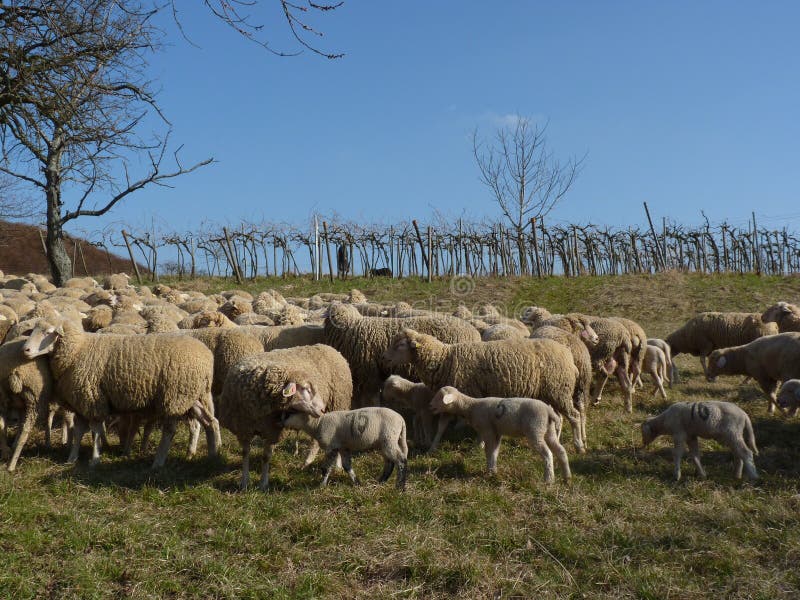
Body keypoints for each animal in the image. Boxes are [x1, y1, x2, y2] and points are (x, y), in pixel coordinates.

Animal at [21, 320, 220, 468]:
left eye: (49, 332)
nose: (25, 350)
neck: (77, 350)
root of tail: (207, 357)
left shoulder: (92, 399)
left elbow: (95, 431)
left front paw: (94, 459)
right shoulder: (81, 402)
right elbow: (78, 432)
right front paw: (71, 458)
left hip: (175, 395)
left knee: (170, 430)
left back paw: (158, 462)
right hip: (191, 395)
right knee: (210, 421)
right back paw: (212, 455)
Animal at [217, 344, 353, 491]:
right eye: (306, 388)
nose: (322, 409)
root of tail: (330, 348)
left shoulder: (272, 430)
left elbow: (266, 456)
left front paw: (263, 484)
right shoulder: (244, 428)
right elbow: (245, 453)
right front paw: (244, 482)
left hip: (338, 403)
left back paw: (335, 465)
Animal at [382, 328, 585, 452]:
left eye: (400, 345)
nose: (384, 357)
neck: (445, 359)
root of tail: (570, 359)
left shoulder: (471, 394)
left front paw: (479, 445)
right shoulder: (450, 397)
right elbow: (441, 426)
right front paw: (432, 447)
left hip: (559, 389)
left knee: (574, 417)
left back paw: (579, 445)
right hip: (553, 393)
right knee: (560, 418)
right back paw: (558, 439)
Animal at [430, 386, 570, 483]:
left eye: (439, 397)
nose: (430, 406)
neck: (471, 407)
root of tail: (548, 411)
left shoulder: (487, 430)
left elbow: (488, 452)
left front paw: (489, 472)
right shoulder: (497, 433)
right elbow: (494, 452)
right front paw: (493, 472)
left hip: (535, 430)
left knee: (548, 453)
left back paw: (549, 479)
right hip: (549, 431)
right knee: (561, 450)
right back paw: (567, 477)